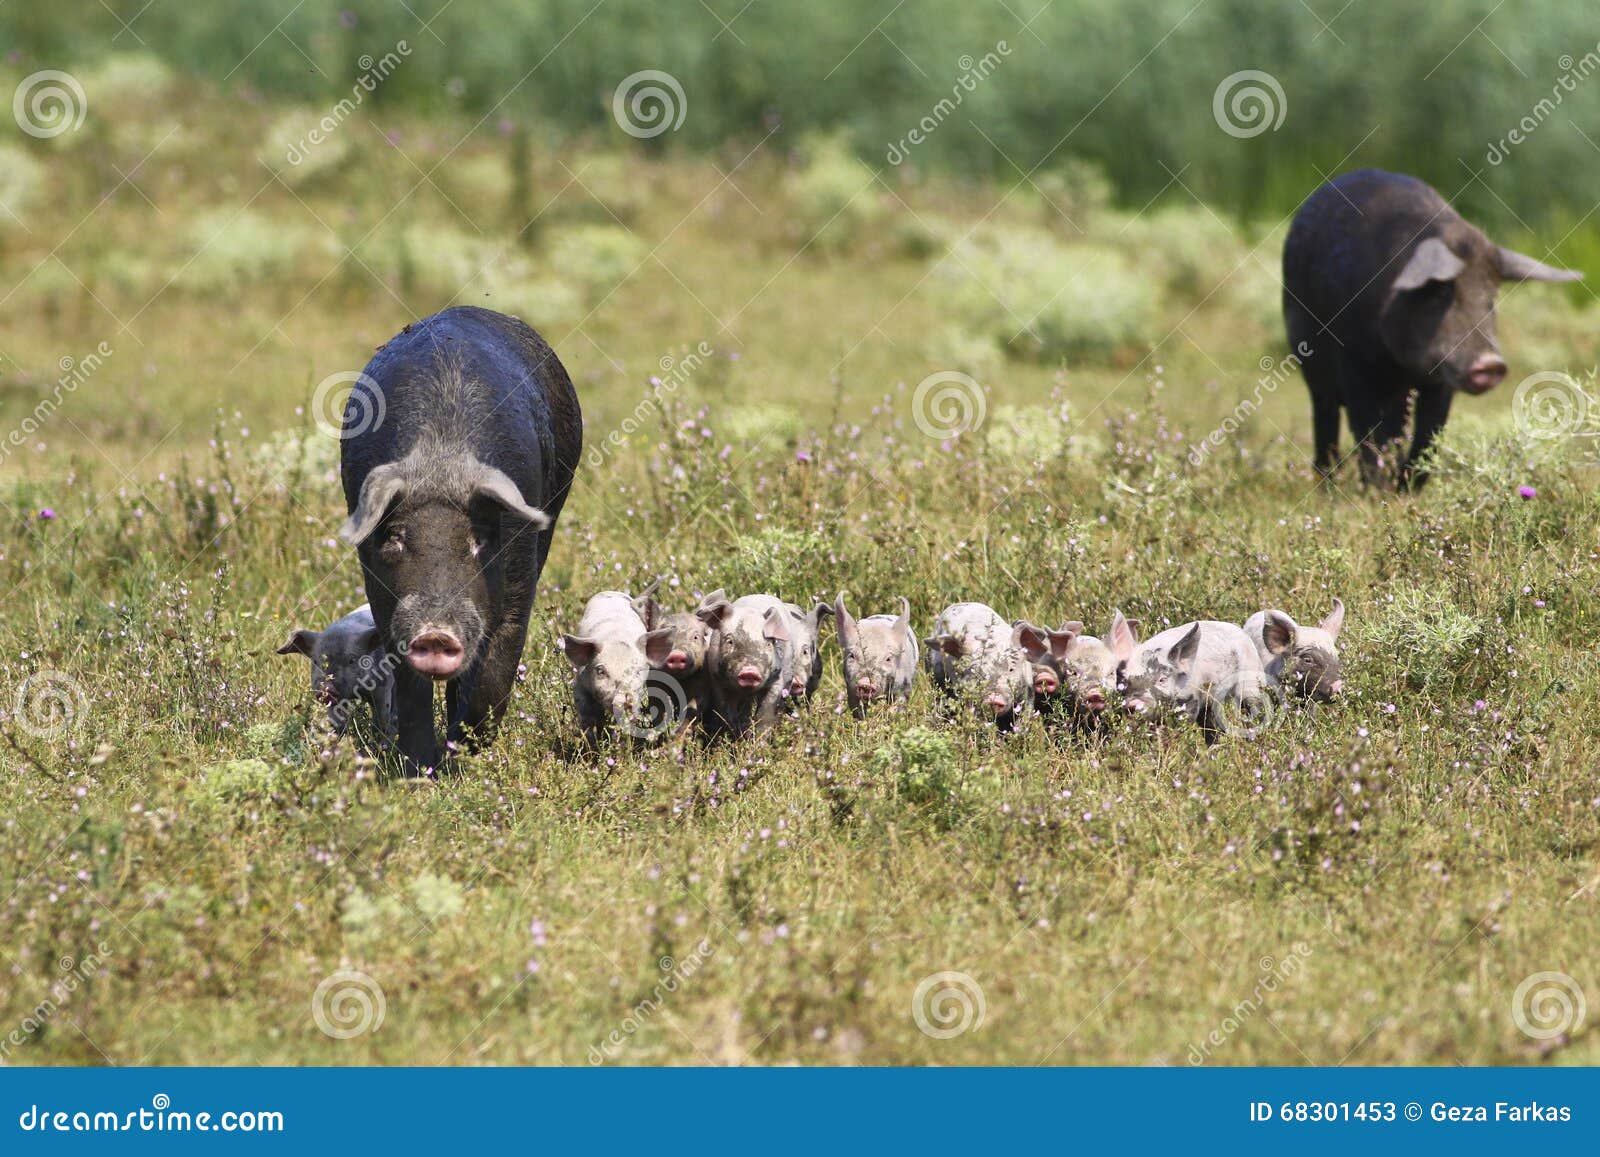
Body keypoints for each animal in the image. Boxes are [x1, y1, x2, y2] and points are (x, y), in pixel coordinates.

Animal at [276, 604, 396, 741]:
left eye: (352, 660)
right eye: (316, 661)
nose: (327, 688)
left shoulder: (383, 687)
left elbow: (382, 716)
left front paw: (382, 740)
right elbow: (335, 718)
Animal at [340, 306, 582, 771]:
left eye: (477, 540)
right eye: (395, 537)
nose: (436, 634)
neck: (441, 460)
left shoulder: (518, 575)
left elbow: (495, 671)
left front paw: (462, 756)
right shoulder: (386, 600)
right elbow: (410, 690)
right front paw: (420, 768)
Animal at [562, 591, 675, 741]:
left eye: (638, 671)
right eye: (600, 671)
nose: (623, 698)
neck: (615, 637)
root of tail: (611, 592)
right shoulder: (580, 683)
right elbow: (588, 716)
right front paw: (592, 742)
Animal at [693, 591, 796, 737]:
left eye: (769, 643)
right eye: (730, 641)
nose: (750, 671)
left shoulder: (778, 679)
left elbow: (766, 713)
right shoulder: (717, 680)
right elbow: (725, 711)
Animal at [1283, 169, 1581, 489]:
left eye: (1490, 299)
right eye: (1441, 294)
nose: (1491, 363)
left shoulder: (1440, 383)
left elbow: (1429, 433)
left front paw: (1407, 488)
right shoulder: (1353, 362)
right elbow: (1367, 431)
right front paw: (1377, 490)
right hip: (1311, 368)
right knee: (1325, 418)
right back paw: (1328, 485)